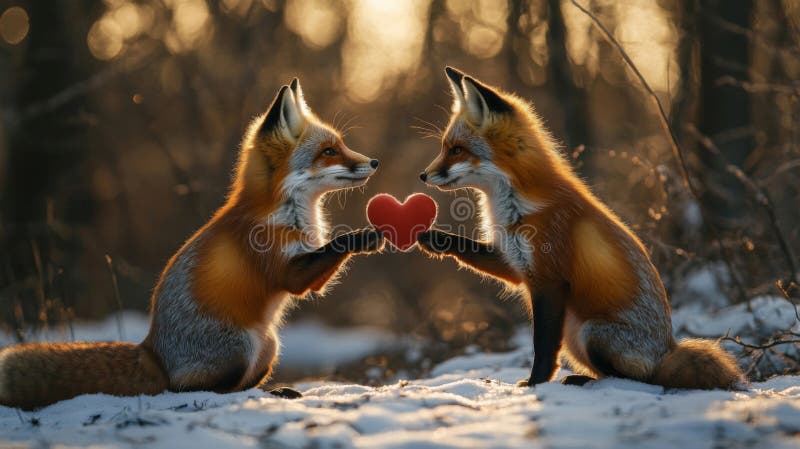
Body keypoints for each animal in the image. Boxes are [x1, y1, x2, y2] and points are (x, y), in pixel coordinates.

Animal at [0, 78, 384, 409]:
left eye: (340, 145)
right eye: (329, 151)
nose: (374, 162)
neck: (288, 212)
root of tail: (151, 351)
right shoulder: (283, 269)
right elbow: (331, 248)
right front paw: (364, 236)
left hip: (269, 347)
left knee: (240, 384)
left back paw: (275, 391)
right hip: (241, 347)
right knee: (190, 389)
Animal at [417, 67, 744, 390]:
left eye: (457, 150)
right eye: (445, 148)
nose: (423, 175)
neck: (513, 204)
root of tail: (668, 350)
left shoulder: (549, 278)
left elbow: (543, 345)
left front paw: (536, 382)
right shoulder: (517, 262)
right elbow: (470, 249)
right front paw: (434, 239)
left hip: (592, 333)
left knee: (640, 378)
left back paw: (584, 380)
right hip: (576, 336)